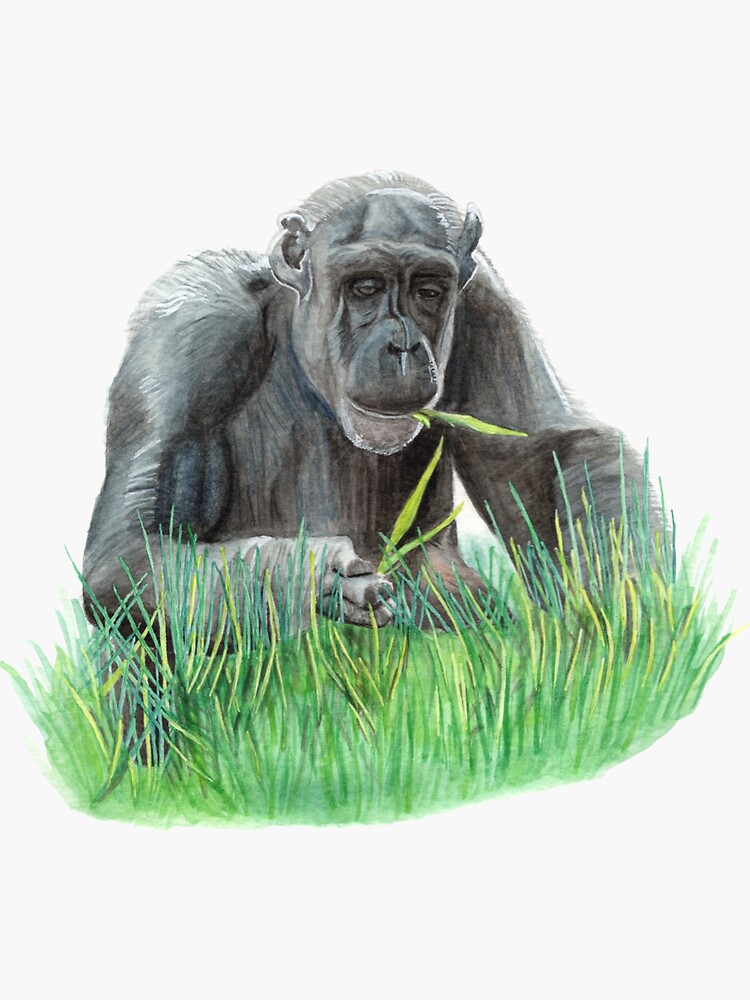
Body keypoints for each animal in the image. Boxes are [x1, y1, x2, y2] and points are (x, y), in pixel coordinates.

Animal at [83, 171, 654, 634]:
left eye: (428, 290)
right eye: (365, 287)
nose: (401, 345)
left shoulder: (488, 303)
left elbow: (546, 456)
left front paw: (633, 610)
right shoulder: (188, 335)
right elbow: (132, 547)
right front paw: (316, 578)